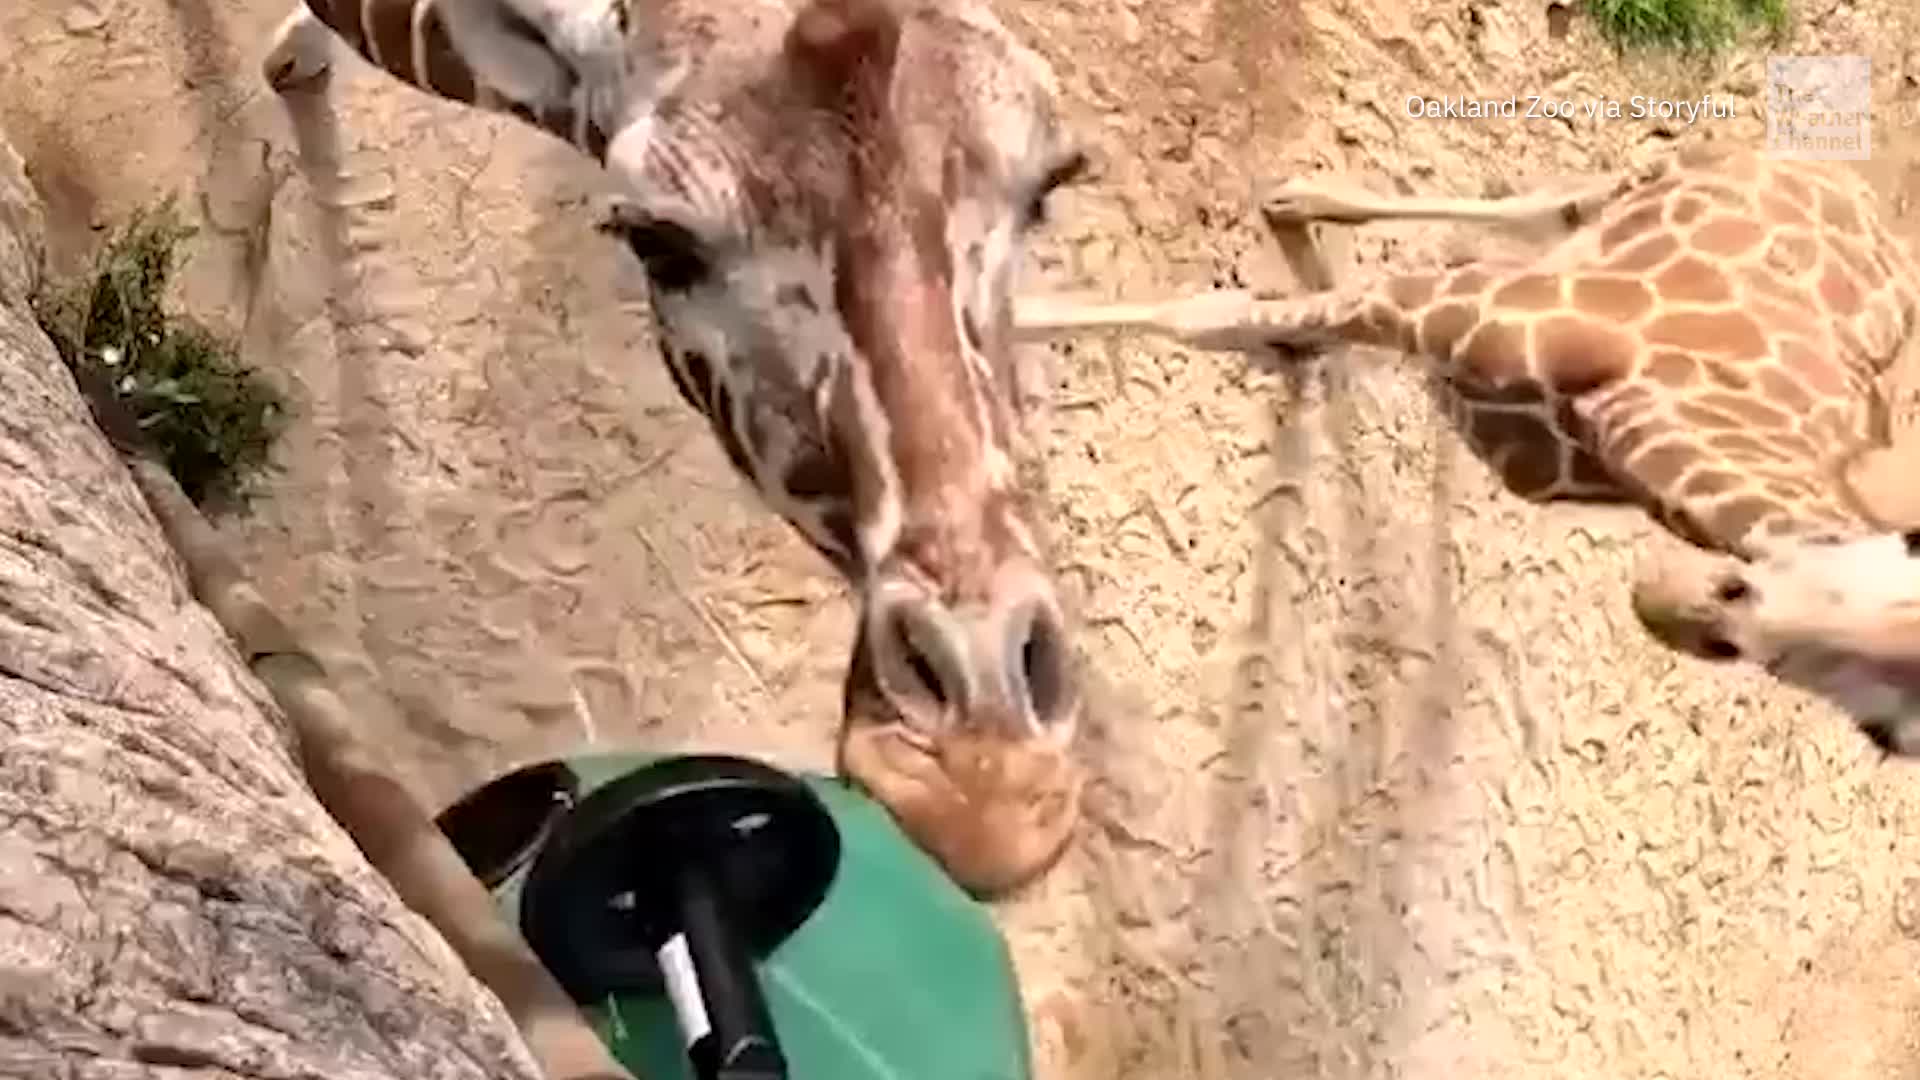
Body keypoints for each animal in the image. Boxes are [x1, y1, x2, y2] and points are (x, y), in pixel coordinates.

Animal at [1015, 143, 1920, 756]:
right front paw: (1010, 316)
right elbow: (1205, 313)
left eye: (1886, 737)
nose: (1681, 607)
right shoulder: (1460, 305)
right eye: (1902, 553)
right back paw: (1292, 199)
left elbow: (1246, 321)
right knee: (1567, 197)